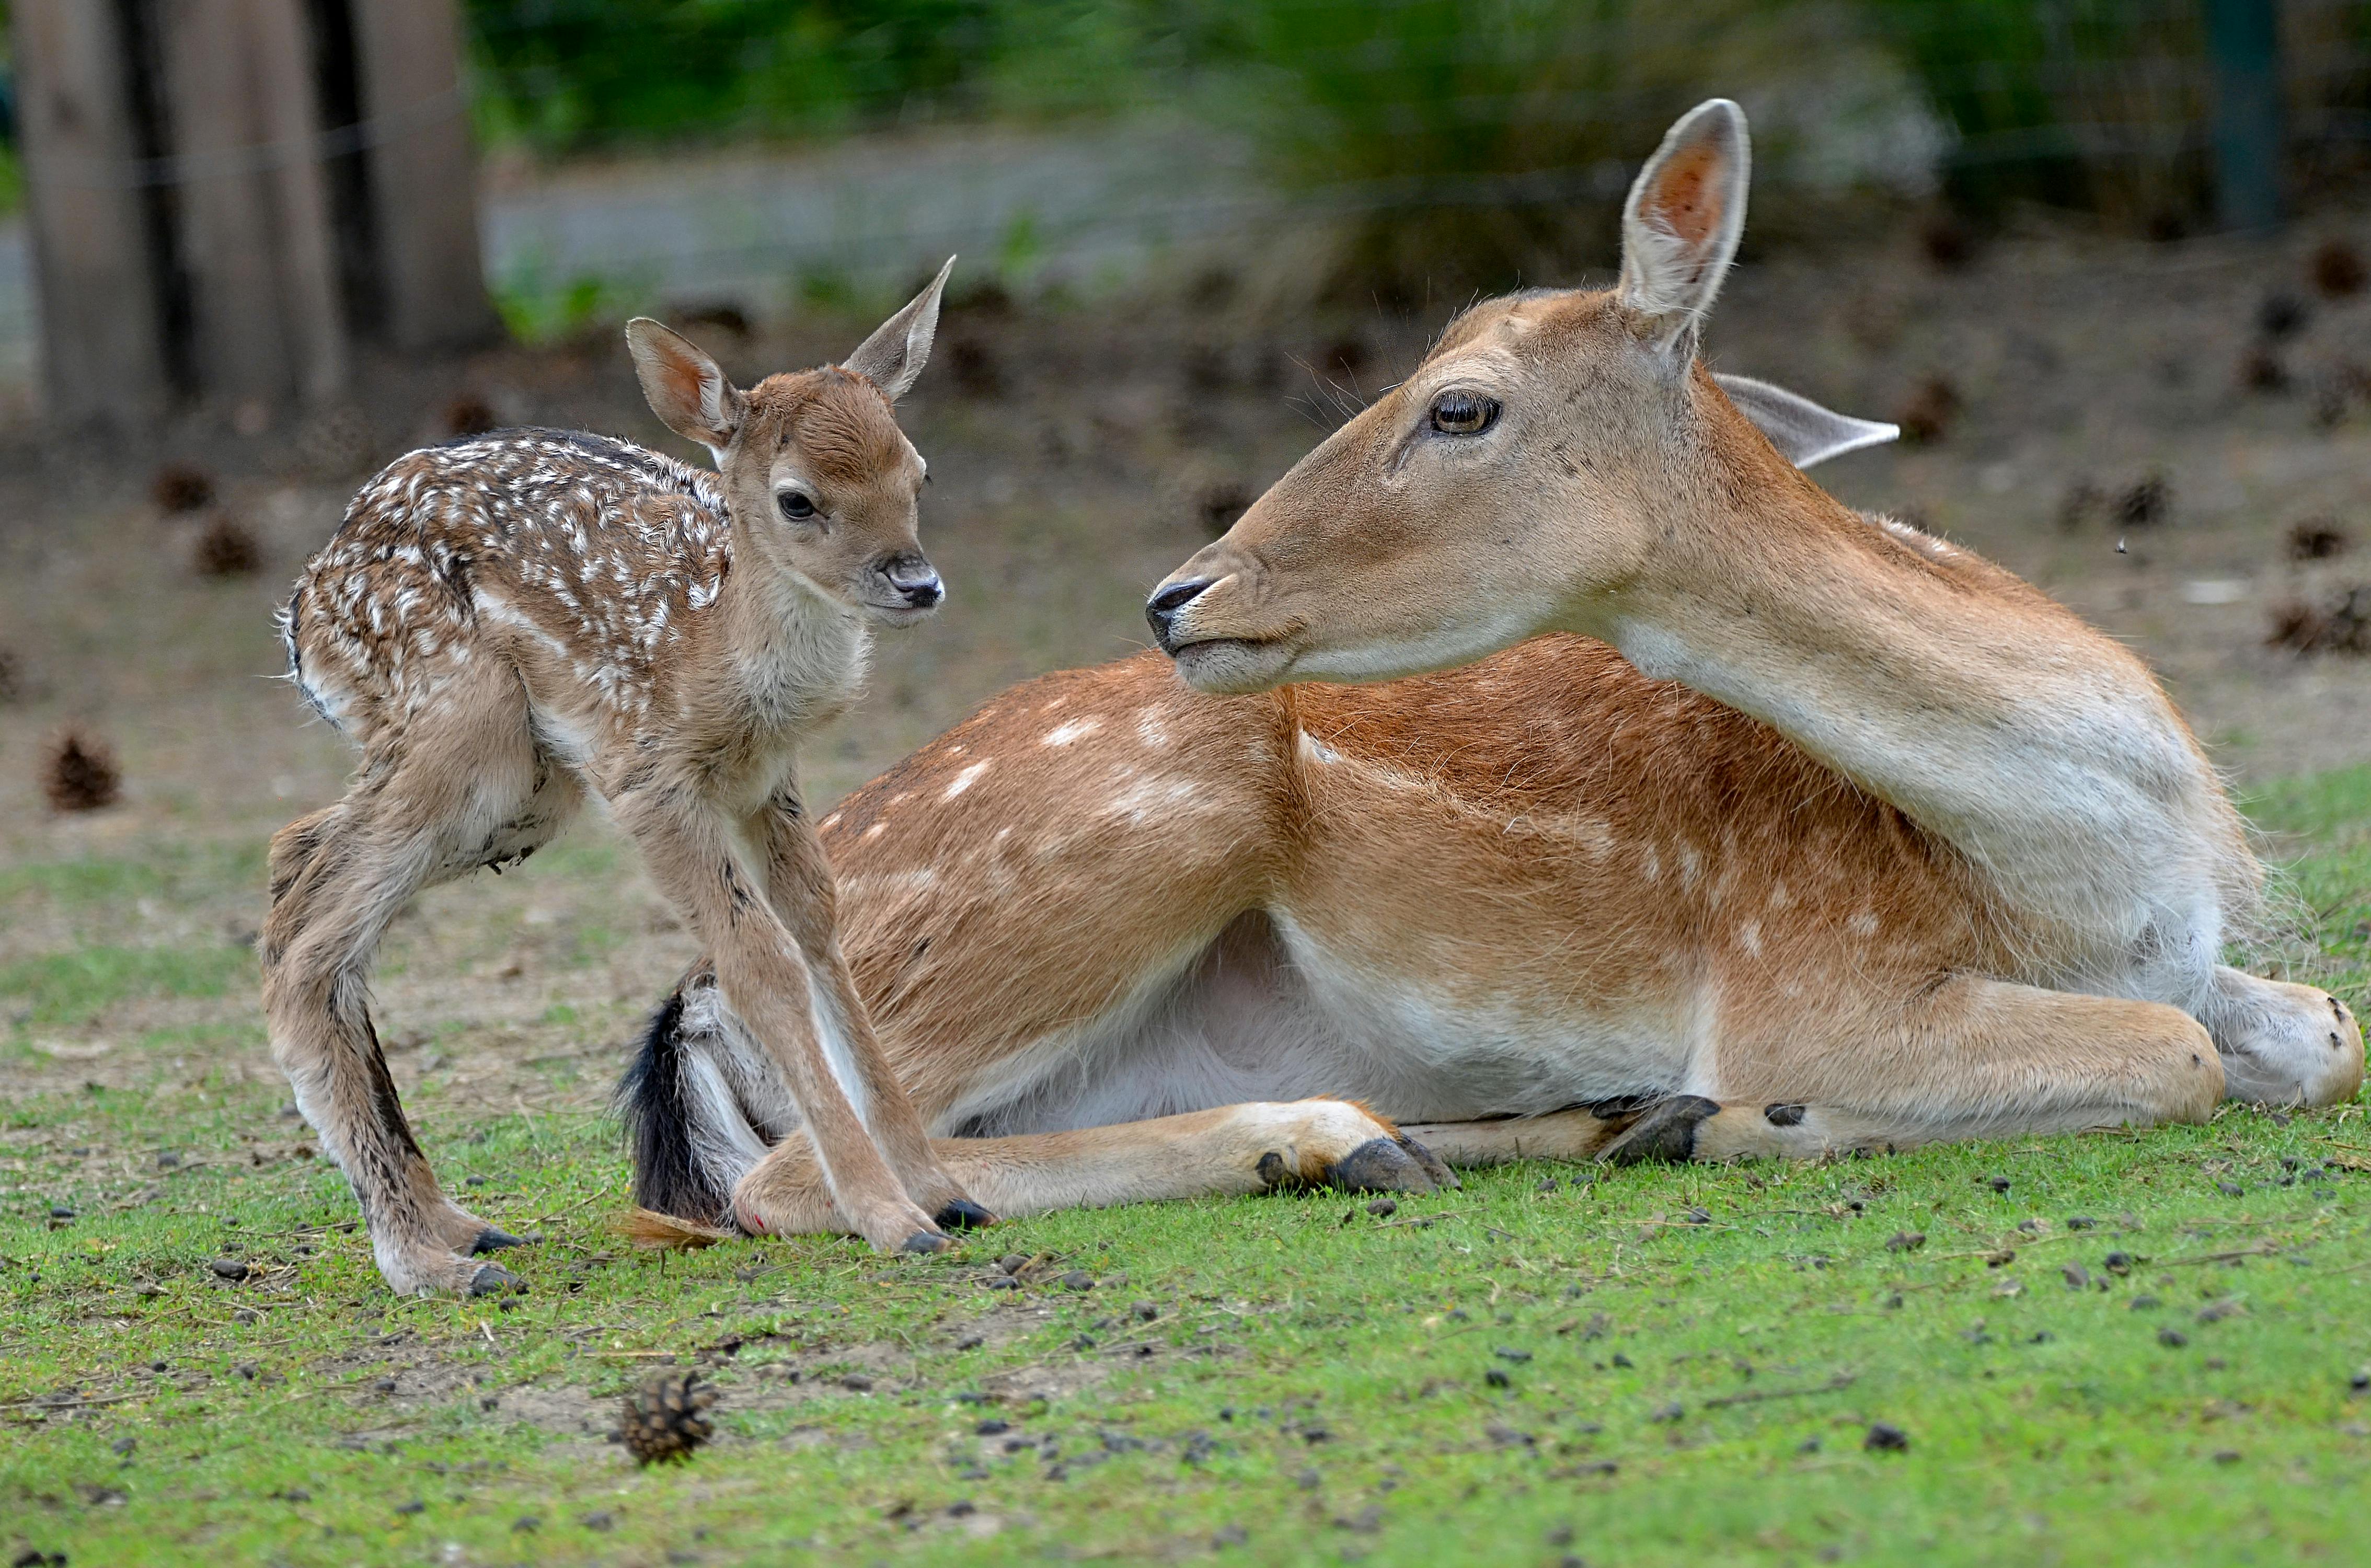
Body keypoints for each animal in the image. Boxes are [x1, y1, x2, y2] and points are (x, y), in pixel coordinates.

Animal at [265, 261, 1000, 1296]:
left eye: (917, 472)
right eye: (798, 499)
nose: (916, 582)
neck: (712, 647)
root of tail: (303, 606)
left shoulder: (768, 778)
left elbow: (821, 933)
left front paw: (942, 1191)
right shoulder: (645, 776)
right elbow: (757, 962)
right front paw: (892, 1220)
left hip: (517, 790)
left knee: (294, 856)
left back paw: (462, 1228)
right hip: (468, 730)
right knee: (308, 936)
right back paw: (424, 1263)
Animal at [619, 100, 2361, 1246]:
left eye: (1459, 406)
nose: (1182, 596)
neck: (2092, 870)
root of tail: (689, 1008)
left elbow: (2321, 1030)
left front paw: (1693, 1121)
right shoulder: (1807, 979)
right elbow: (2183, 1058)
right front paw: (1768, 1117)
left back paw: (1576, 1123)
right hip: (1120, 837)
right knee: (821, 1171)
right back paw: (1345, 1143)